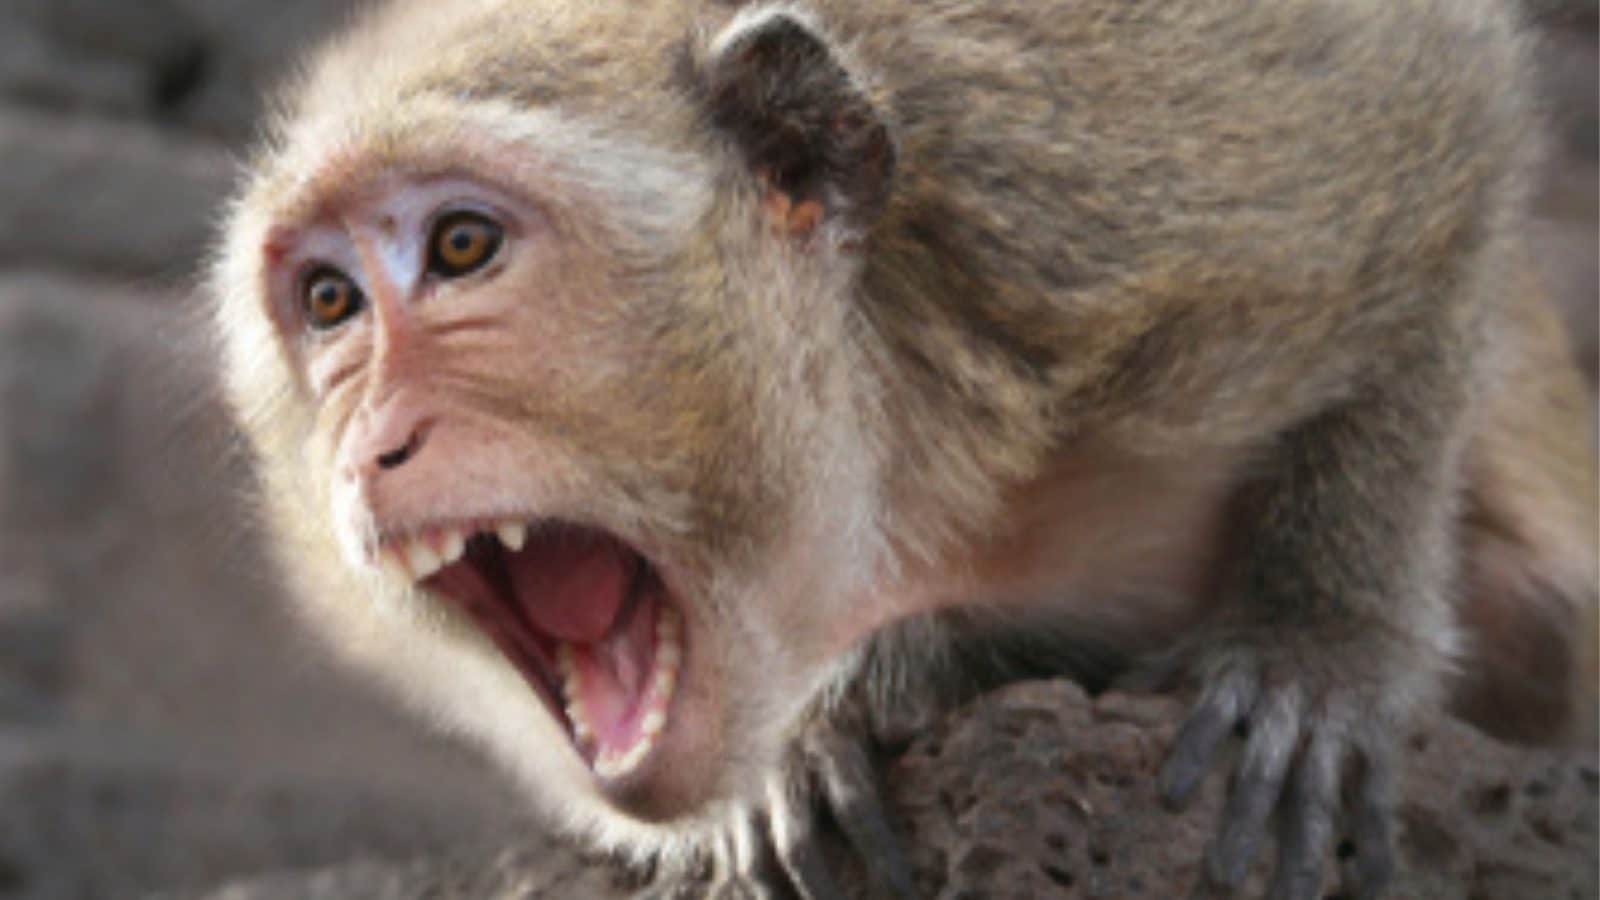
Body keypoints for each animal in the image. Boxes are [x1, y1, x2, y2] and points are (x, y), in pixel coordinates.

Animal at [209, 1, 1598, 897]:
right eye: (328, 302)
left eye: (460, 247)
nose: (370, 447)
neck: (880, 393)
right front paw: (830, 723)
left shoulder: (1108, 188)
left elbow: (1437, 131)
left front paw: (1317, 648)